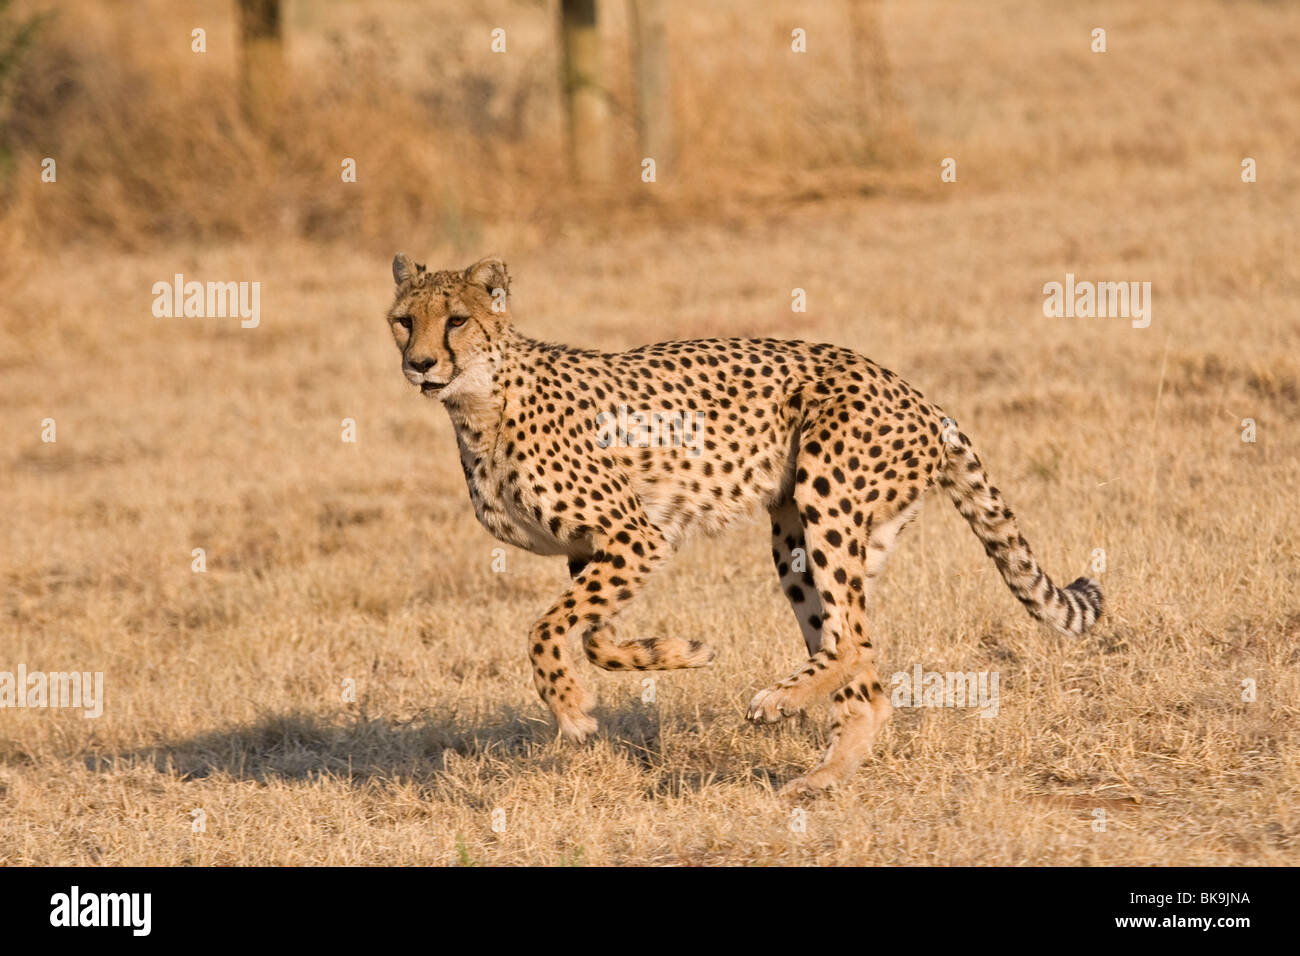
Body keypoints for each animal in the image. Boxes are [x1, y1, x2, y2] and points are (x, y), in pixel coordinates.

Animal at [384, 253, 1103, 794]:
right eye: (403, 321)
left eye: (455, 320)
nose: (418, 364)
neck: (481, 400)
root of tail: (920, 397)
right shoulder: (595, 548)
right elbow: (592, 636)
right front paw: (677, 653)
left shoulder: (636, 536)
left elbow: (546, 629)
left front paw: (570, 711)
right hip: (797, 538)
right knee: (864, 671)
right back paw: (821, 775)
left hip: (826, 494)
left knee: (852, 641)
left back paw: (779, 702)